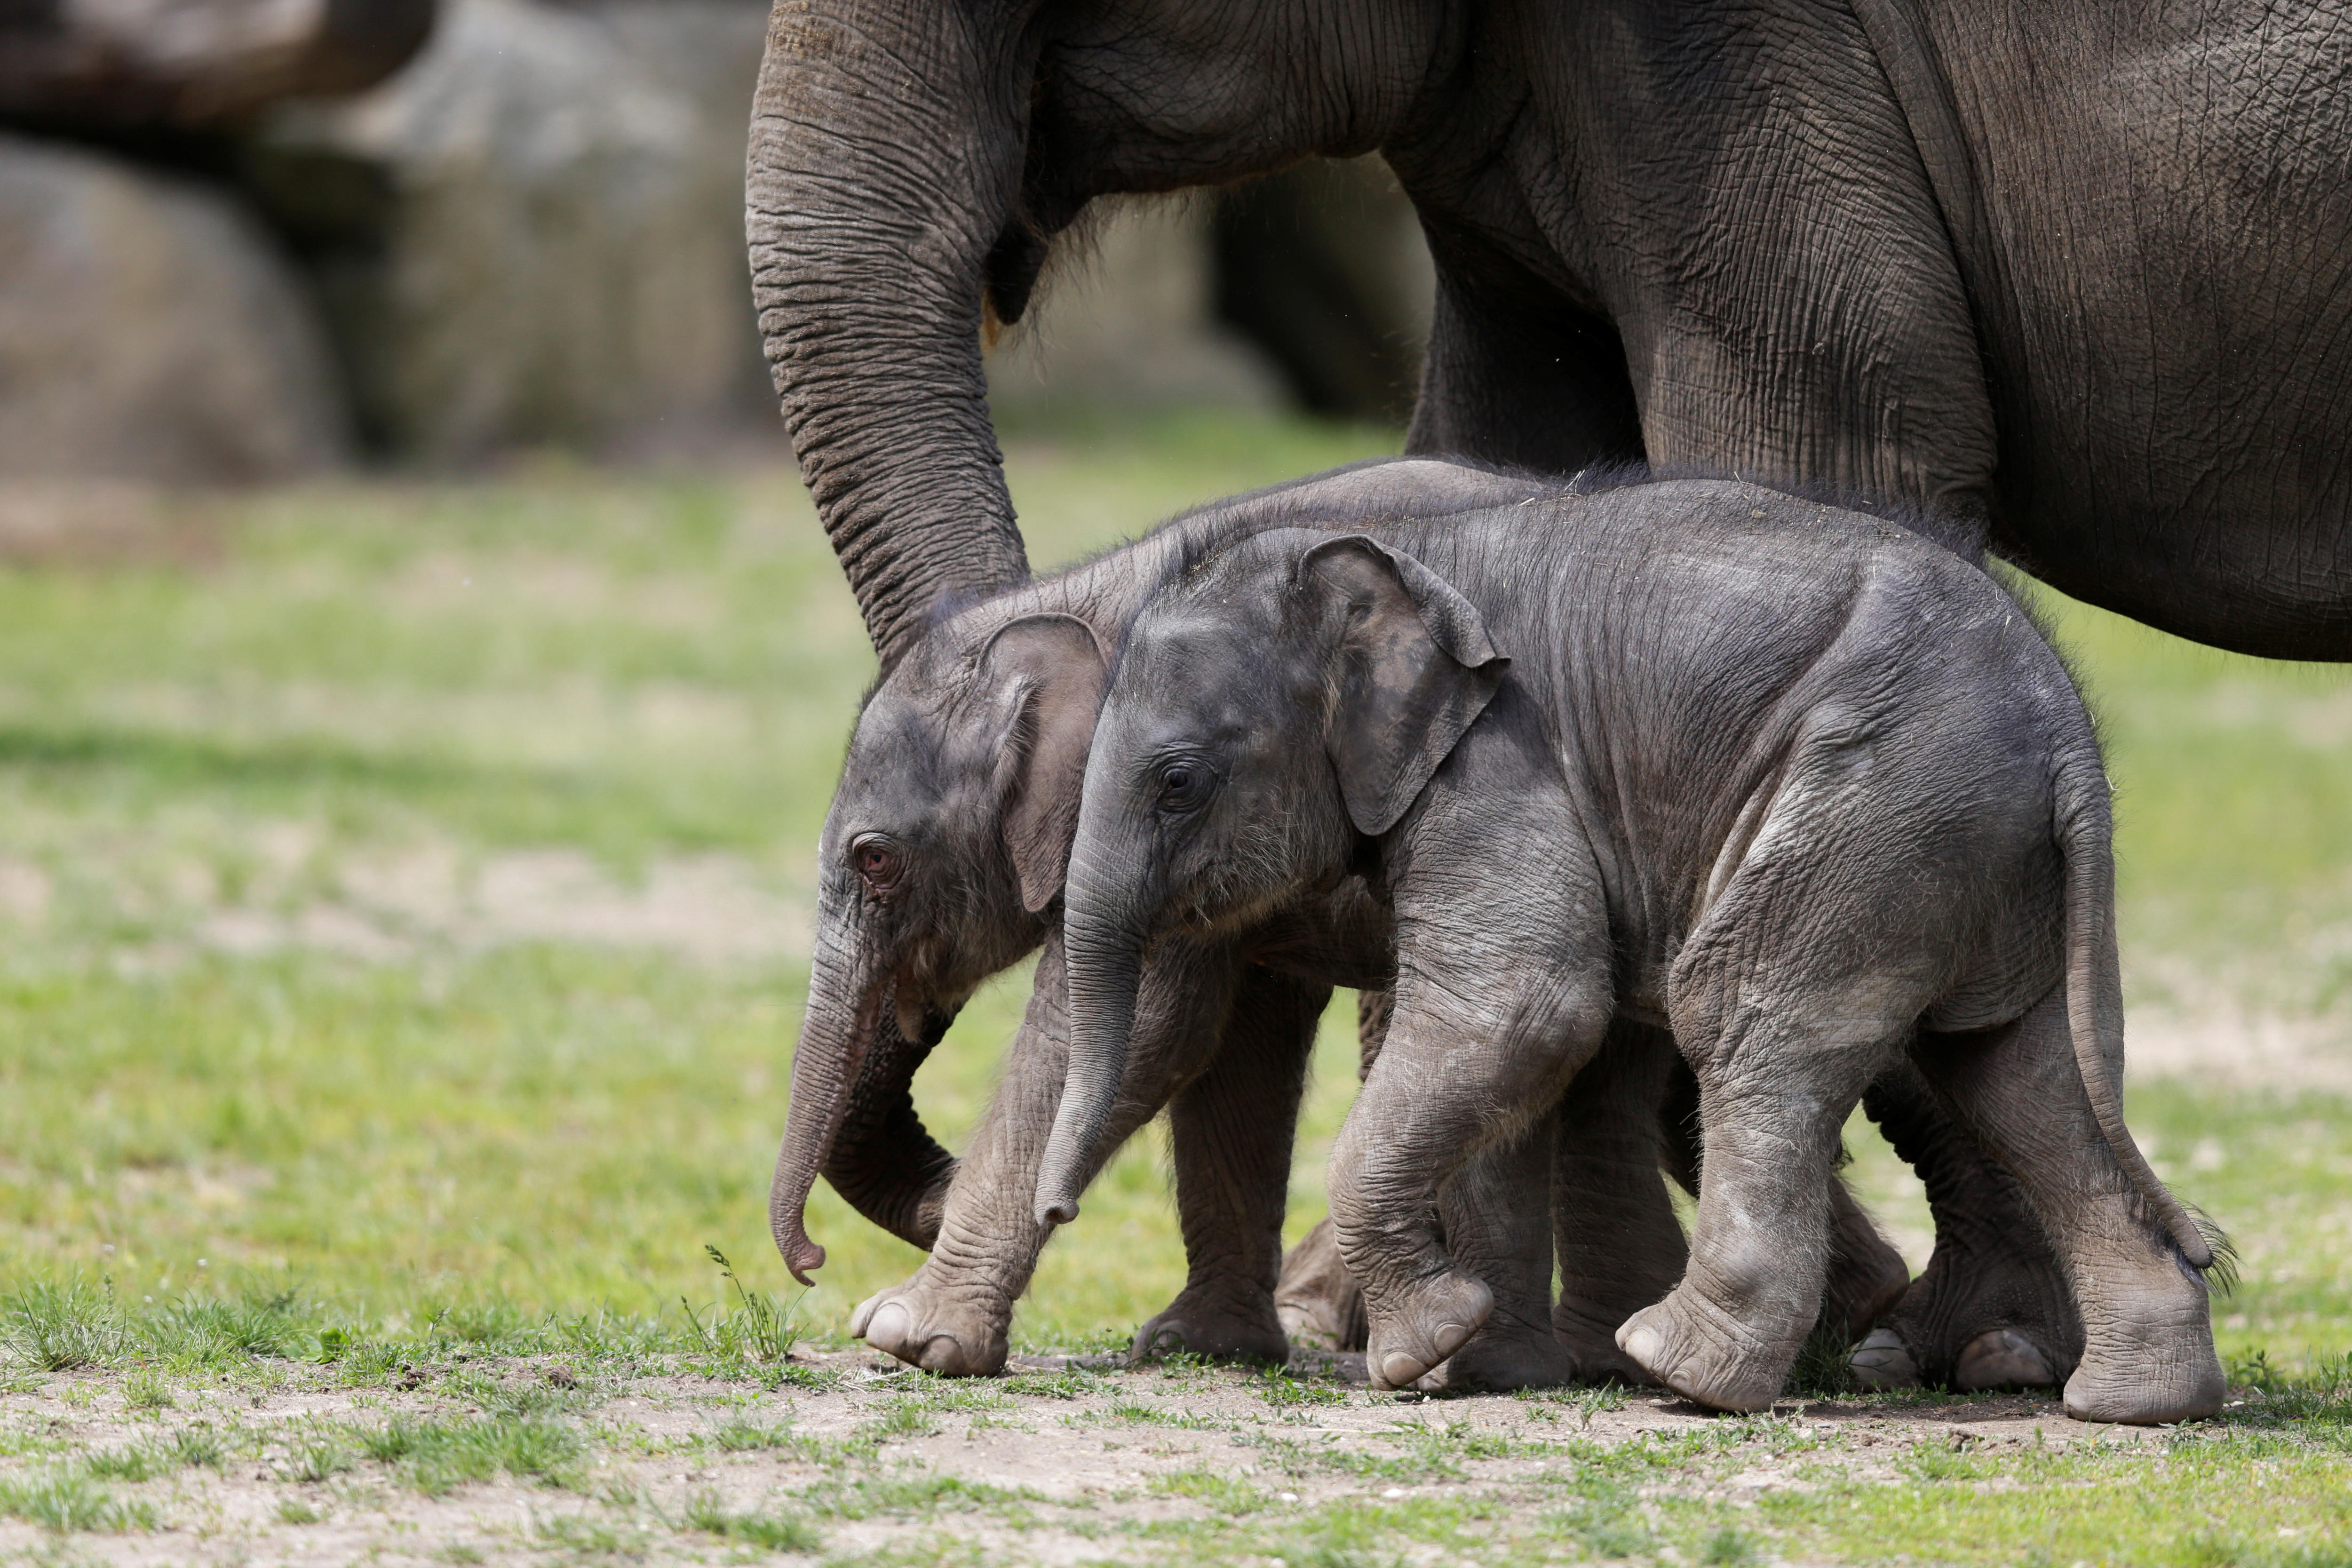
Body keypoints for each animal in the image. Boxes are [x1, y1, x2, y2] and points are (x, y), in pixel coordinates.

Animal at [768, 455, 1911, 1381]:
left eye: (876, 860)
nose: (814, 1267)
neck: (1085, 592)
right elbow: (1234, 1051)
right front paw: (1199, 1349)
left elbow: (1143, 1034)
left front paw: (906, 1337)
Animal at [1039, 478, 2226, 1423]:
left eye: (1179, 780)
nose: (1060, 1212)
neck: (1401, 553)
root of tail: (2067, 739)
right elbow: (1531, 1048)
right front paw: (1482, 1365)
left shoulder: (1501, 760)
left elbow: (1526, 1005)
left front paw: (1427, 1348)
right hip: (1975, 857)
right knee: (2021, 1075)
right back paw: (2135, 1405)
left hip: (1876, 812)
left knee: (1744, 1025)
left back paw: (1677, 1371)